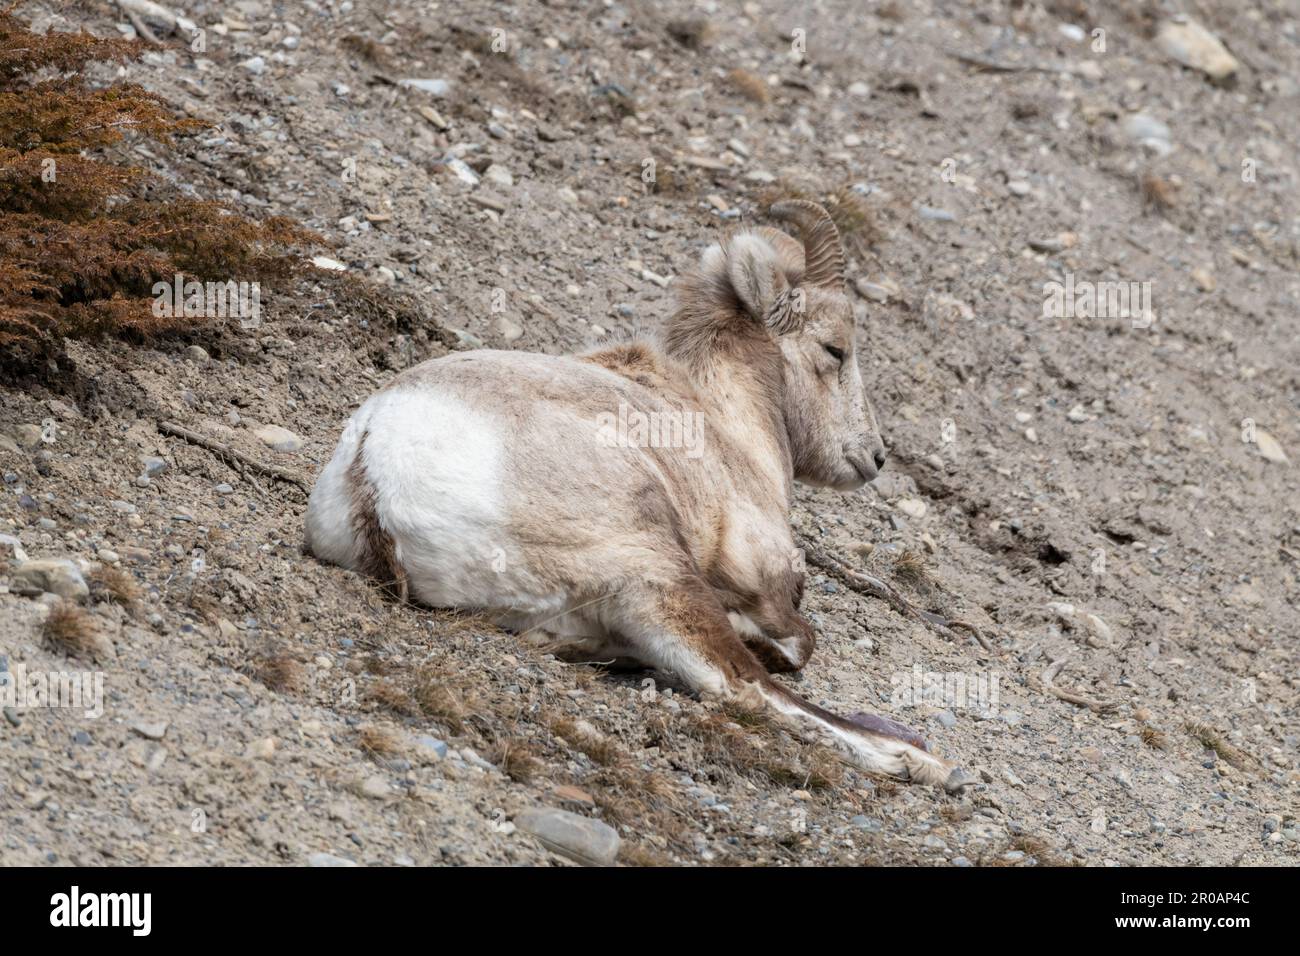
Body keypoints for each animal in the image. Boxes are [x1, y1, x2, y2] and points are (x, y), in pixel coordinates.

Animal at [305, 201, 974, 792]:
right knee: (740, 684)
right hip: (652, 574)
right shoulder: (766, 580)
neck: (722, 419)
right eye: (835, 349)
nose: (874, 457)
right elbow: (798, 643)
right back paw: (924, 763)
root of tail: (373, 472)